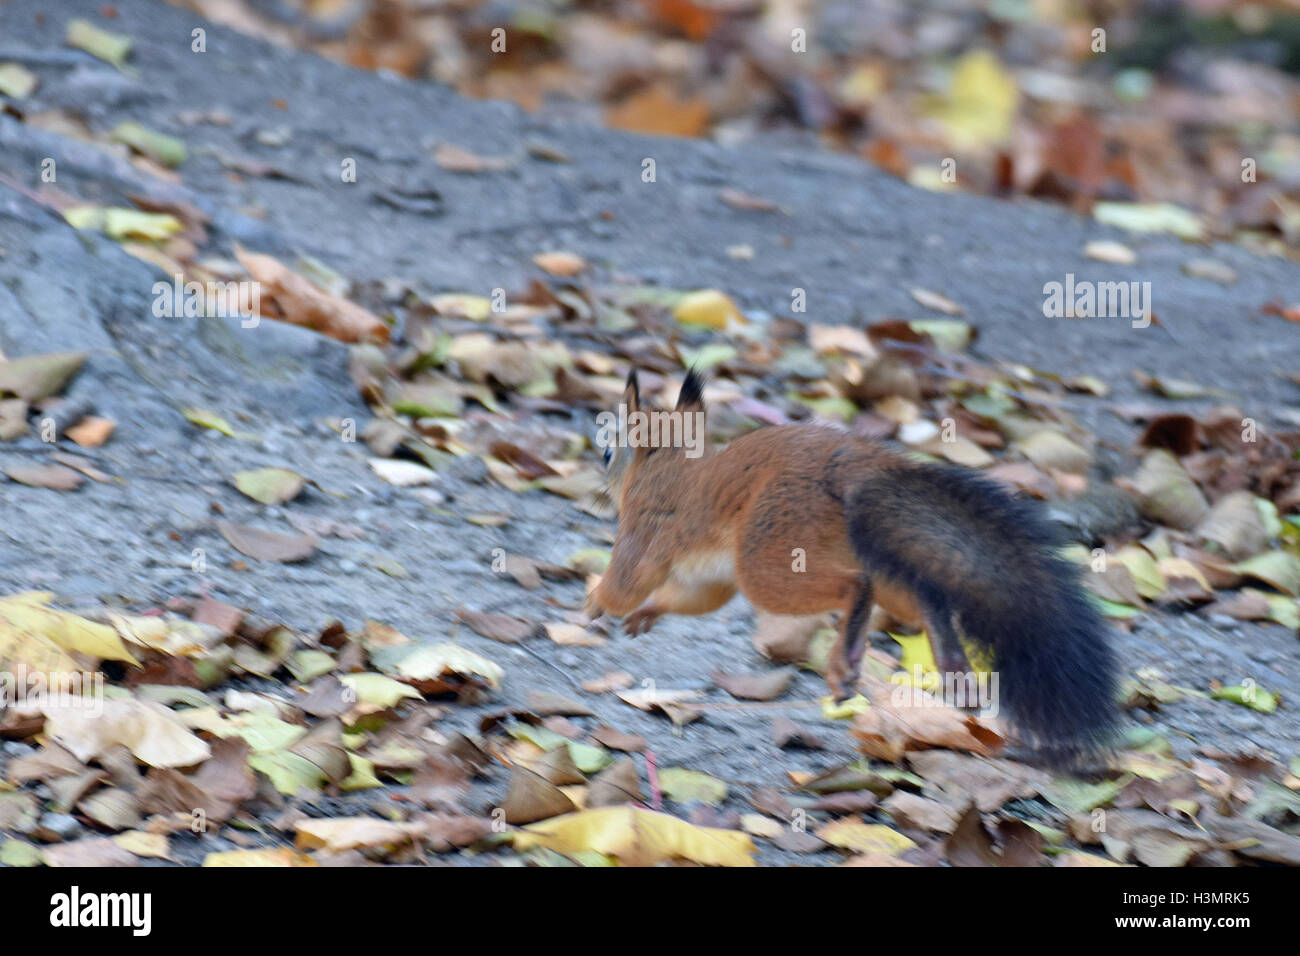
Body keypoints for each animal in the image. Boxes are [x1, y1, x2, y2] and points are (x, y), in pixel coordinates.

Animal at [584, 369, 1119, 767]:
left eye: (608, 452)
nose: (600, 481)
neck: (666, 468)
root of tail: (858, 471)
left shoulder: (646, 531)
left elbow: (626, 586)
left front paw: (594, 602)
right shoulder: (707, 576)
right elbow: (691, 599)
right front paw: (644, 616)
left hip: (770, 556)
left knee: (855, 587)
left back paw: (846, 664)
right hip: (883, 551)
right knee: (927, 593)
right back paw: (955, 668)